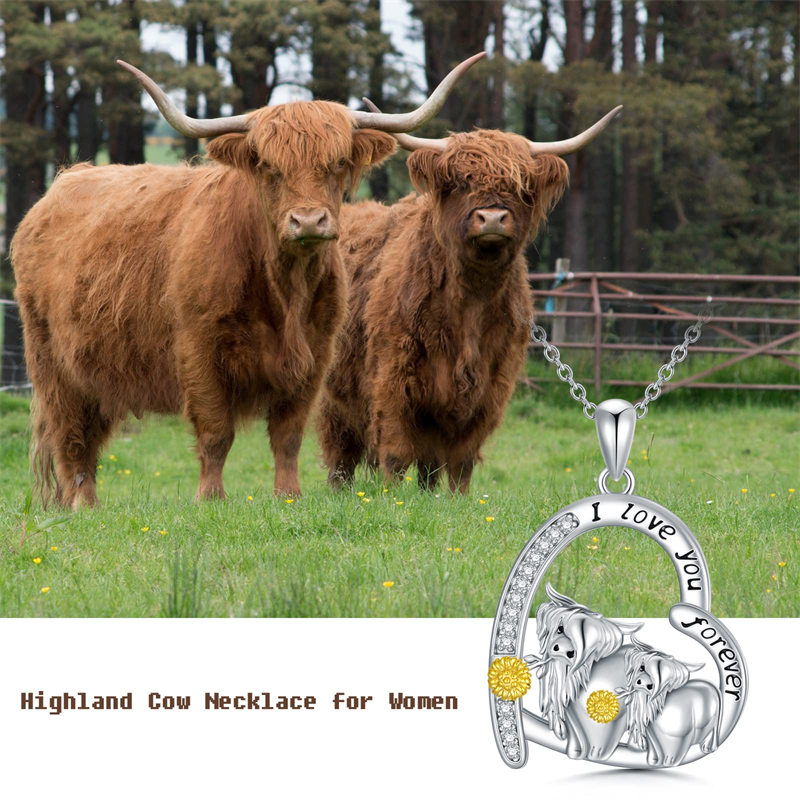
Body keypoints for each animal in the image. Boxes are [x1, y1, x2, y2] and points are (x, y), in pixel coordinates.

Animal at [10, 54, 484, 509]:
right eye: (270, 168)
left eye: (336, 164)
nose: (307, 220)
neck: (285, 290)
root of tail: (62, 183)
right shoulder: (198, 350)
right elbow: (216, 432)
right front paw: (210, 498)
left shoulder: (315, 355)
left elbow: (289, 435)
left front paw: (288, 496)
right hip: (51, 363)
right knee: (70, 436)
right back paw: (82, 505)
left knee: (89, 435)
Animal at [317, 102, 621, 492]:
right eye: (462, 182)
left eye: (520, 186)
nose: (492, 217)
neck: (471, 305)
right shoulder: (393, 378)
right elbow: (396, 452)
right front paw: (389, 498)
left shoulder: (489, 387)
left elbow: (461, 460)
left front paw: (455, 500)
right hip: (333, 395)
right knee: (340, 455)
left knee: (428, 465)